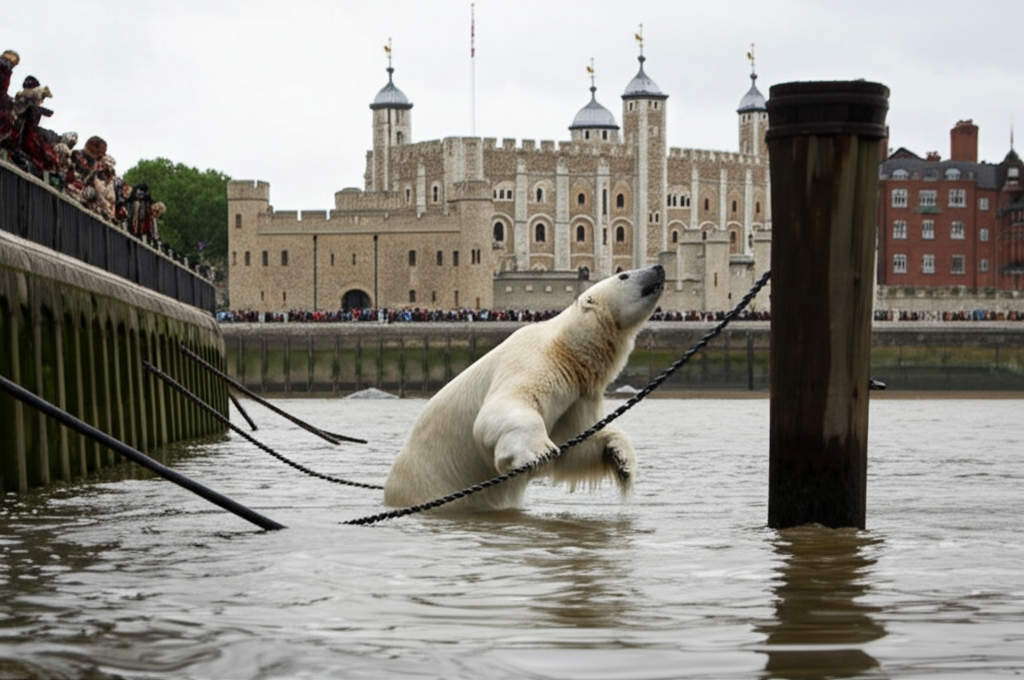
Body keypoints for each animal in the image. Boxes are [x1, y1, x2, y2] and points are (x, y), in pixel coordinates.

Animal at [383, 264, 665, 512]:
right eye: (624, 275)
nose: (658, 268)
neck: (565, 350)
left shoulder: (579, 394)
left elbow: (575, 446)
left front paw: (621, 457)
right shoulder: (531, 359)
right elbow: (507, 406)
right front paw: (538, 452)